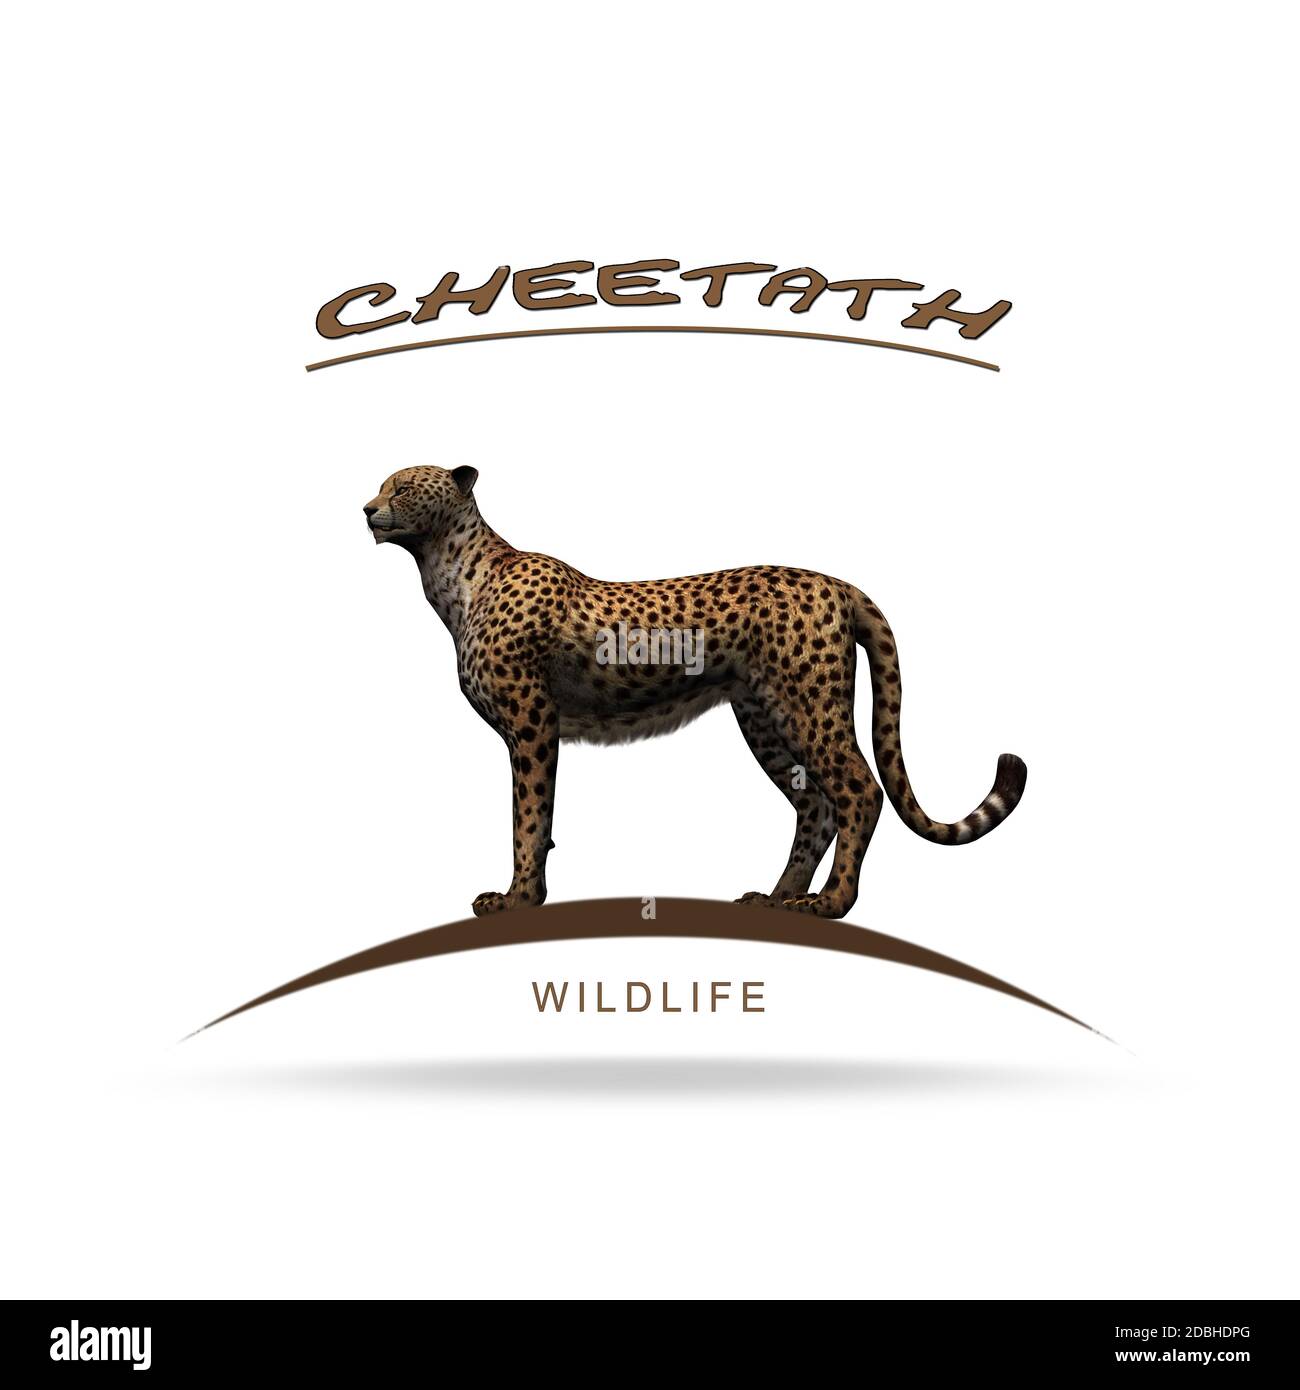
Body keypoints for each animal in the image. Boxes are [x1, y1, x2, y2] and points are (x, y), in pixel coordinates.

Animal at [363, 464, 1027, 920]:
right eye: (382, 485)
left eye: (403, 487)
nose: (367, 509)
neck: (451, 572)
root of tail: (837, 583)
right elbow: (535, 817)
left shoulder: (532, 724)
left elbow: (528, 815)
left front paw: (519, 898)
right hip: (763, 716)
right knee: (814, 805)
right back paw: (777, 896)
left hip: (808, 706)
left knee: (859, 791)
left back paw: (829, 903)